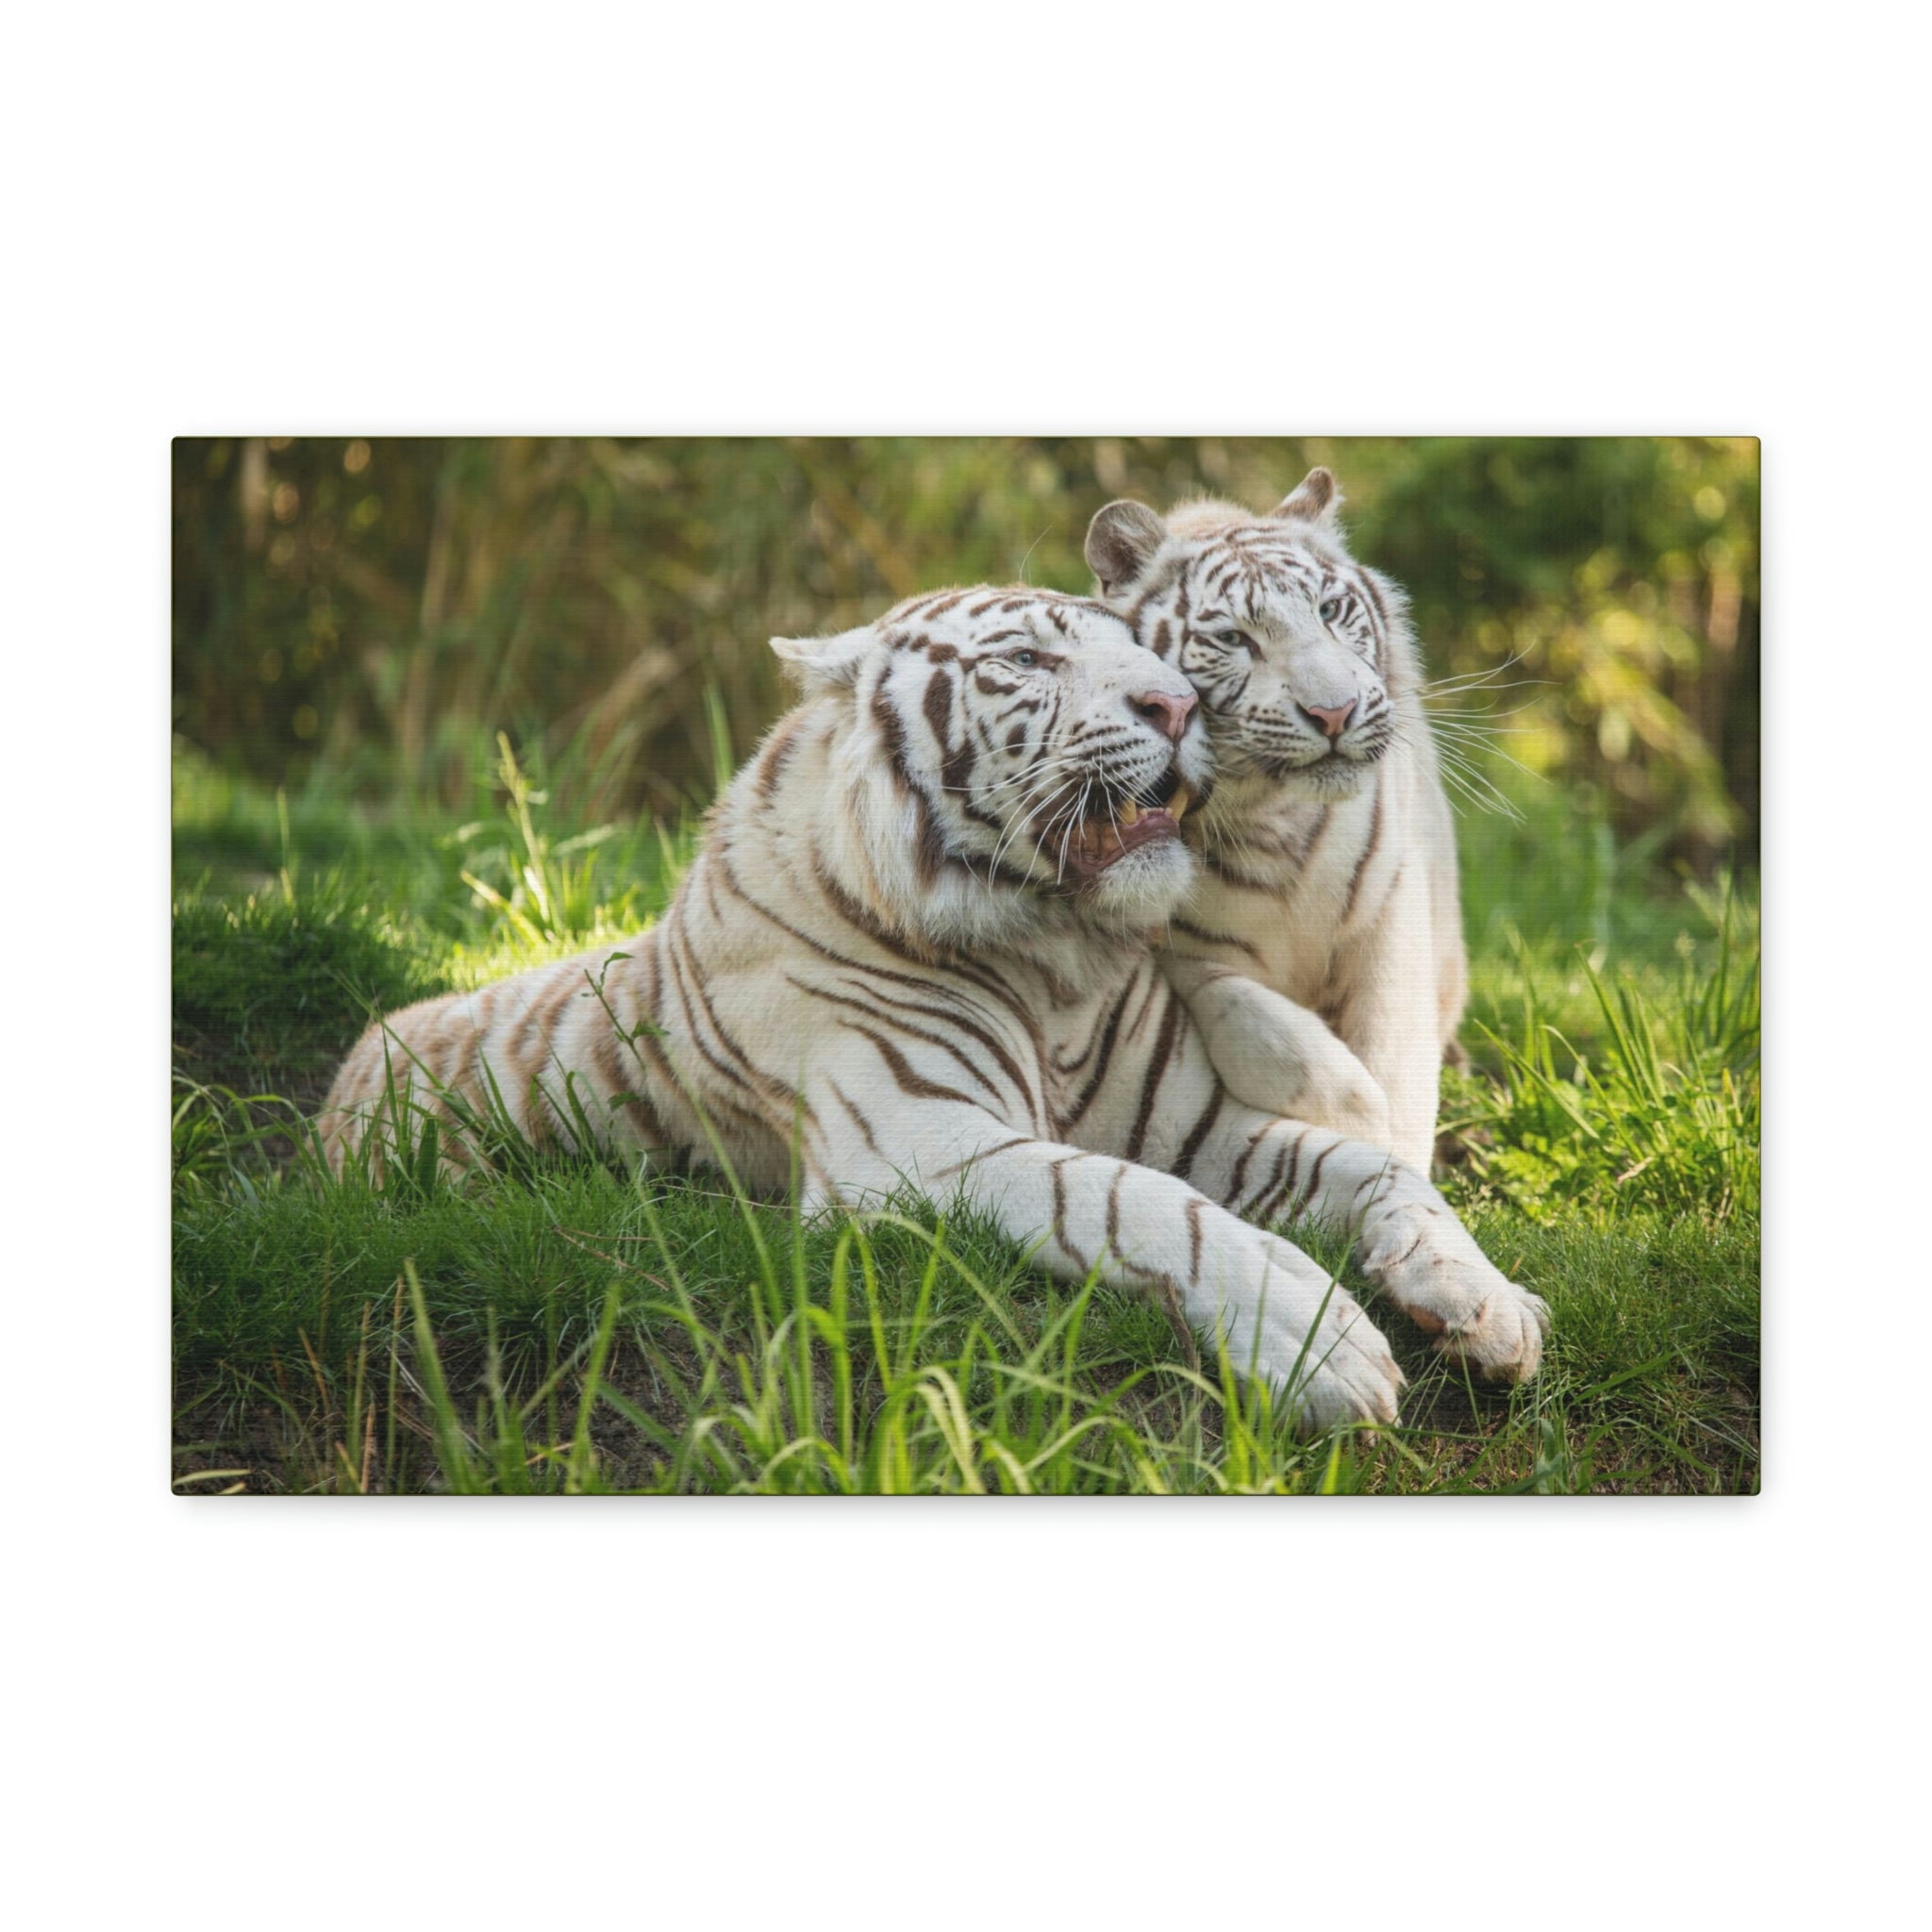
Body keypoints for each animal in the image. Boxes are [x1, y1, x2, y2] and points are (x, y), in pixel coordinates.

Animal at [321, 586, 1548, 1422]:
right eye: (1027, 657)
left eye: (1151, 653)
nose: (1178, 702)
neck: (1054, 961)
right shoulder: (916, 1143)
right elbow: (1137, 1203)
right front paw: (1317, 1341)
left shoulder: (1203, 1125)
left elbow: (1381, 1171)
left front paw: (1484, 1303)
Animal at [1087, 467, 1470, 1182]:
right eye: (1235, 639)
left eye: (1330, 611)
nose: (1335, 712)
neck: (1272, 817)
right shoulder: (1170, 944)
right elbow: (1259, 1022)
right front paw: (1359, 1116)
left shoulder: (1392, 916)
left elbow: (1398, 1058)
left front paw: (1398, 1151)